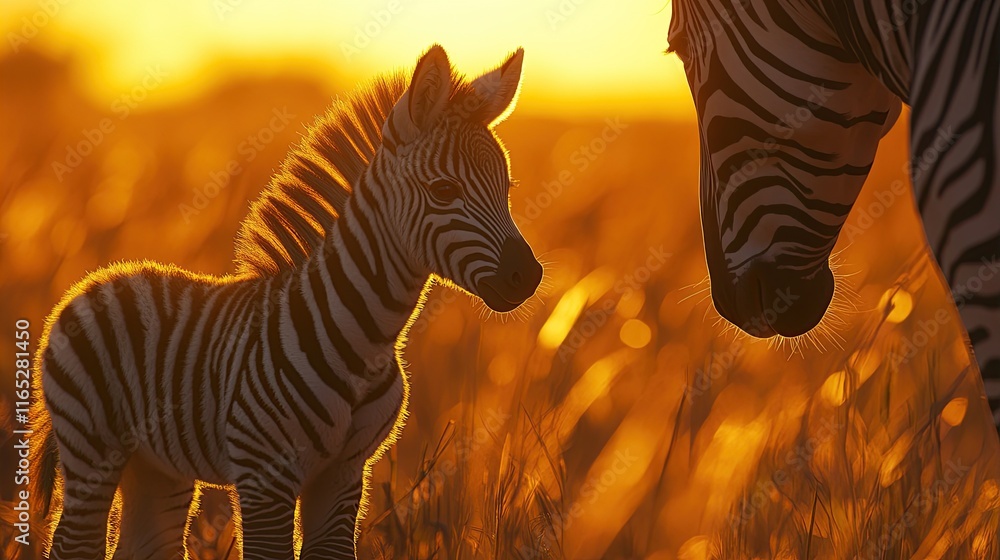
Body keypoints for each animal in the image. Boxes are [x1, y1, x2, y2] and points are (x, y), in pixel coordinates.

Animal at [27, 44, 542, 560]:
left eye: (508, 188)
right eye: (444, 191)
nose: (528, 276)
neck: (365, 336)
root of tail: (97, 279)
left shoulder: (344, 474)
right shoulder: (264, 478)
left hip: (156, 467)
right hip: (91, 446)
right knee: (75, 543)